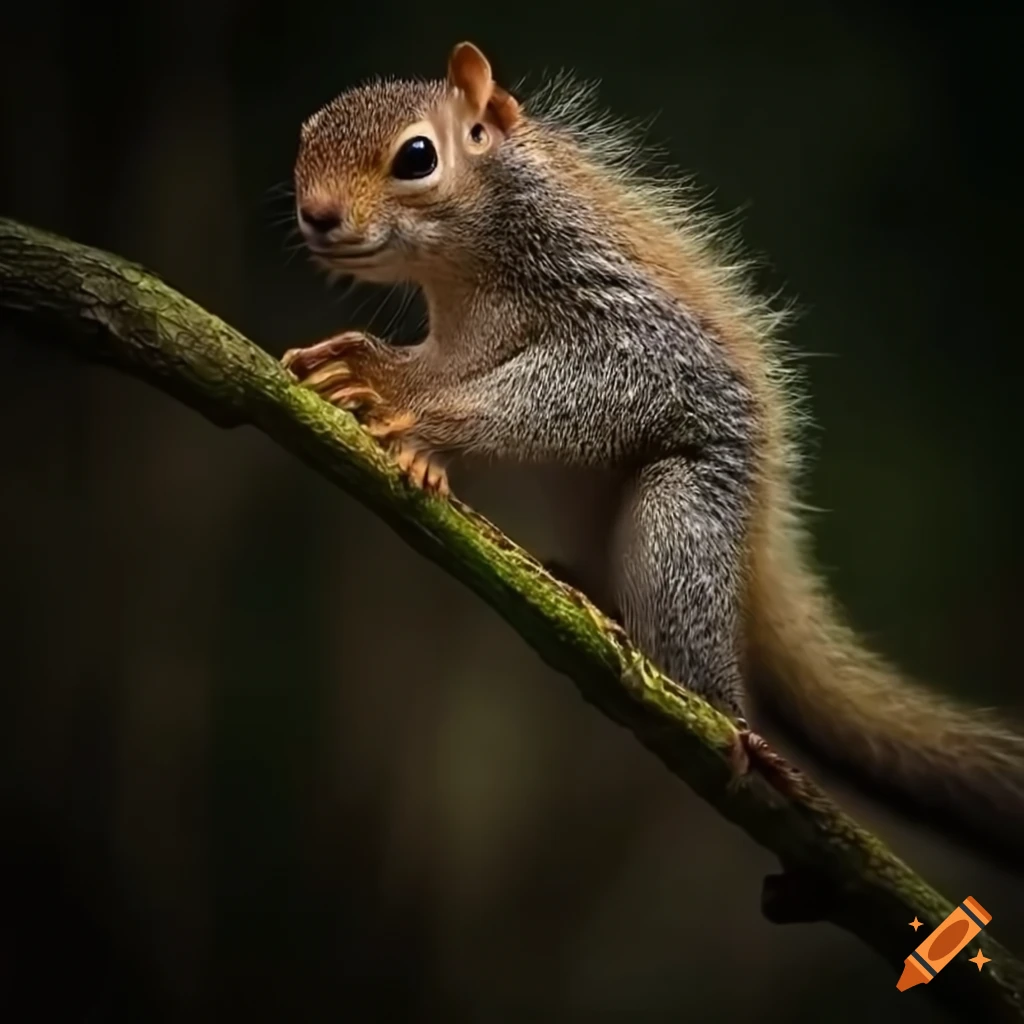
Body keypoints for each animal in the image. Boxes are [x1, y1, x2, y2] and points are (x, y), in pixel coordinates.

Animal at [282, 41, 1024, 869]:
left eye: (417, 156)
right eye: (304, 143)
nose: (316, 215)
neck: (463, 264)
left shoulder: (603, 287)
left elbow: (635, 370)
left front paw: (416, 416)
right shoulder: (460, 334)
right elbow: (436, 366)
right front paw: (364, 374)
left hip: (686, 520)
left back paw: (731, 723)